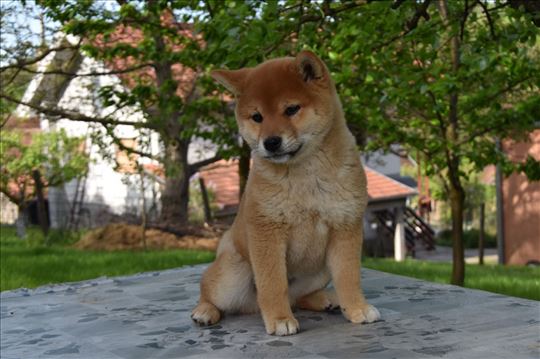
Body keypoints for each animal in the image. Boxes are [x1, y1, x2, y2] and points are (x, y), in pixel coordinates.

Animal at [192, 49, 382, 336]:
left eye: (291, 109)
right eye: (257, 117)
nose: (271, 142)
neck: (306, 173)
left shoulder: (345, 226)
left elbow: (349, 277)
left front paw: (357, 308)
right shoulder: (267, 231)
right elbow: (273, 284)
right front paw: (280, 319)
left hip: (320, 271)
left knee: (300, 297)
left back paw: (327, 299)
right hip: (232, 275)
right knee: (208, 289)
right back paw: (204, 311)